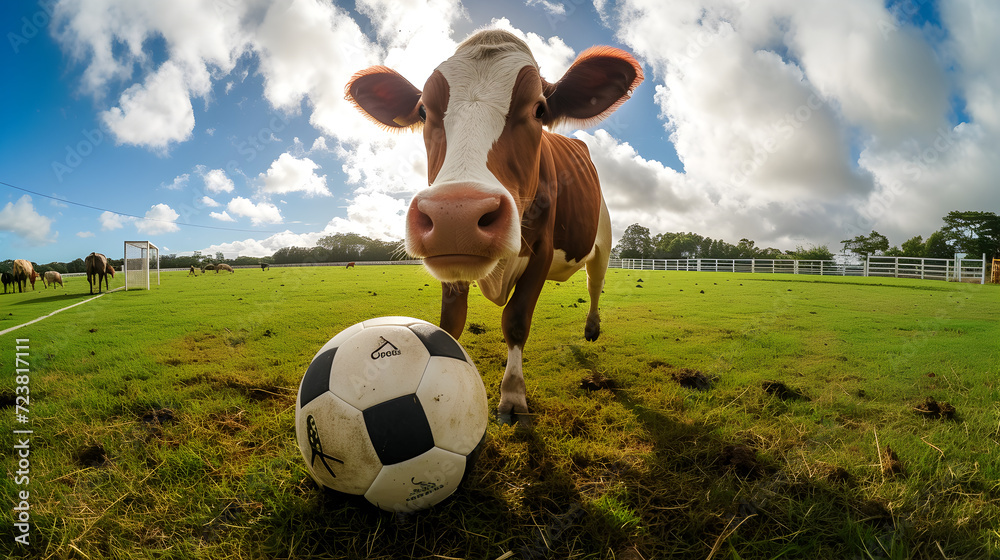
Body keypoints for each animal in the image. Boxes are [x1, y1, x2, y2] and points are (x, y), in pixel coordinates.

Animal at [347, 29, 642, 424]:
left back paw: (592, 328)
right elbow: (450, 322)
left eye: (539, 109)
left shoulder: (541, 251)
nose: (455, 213)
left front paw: (513, 396)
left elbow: (515, 320)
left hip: (603, 241)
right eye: (423, 110)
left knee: (595, 282)